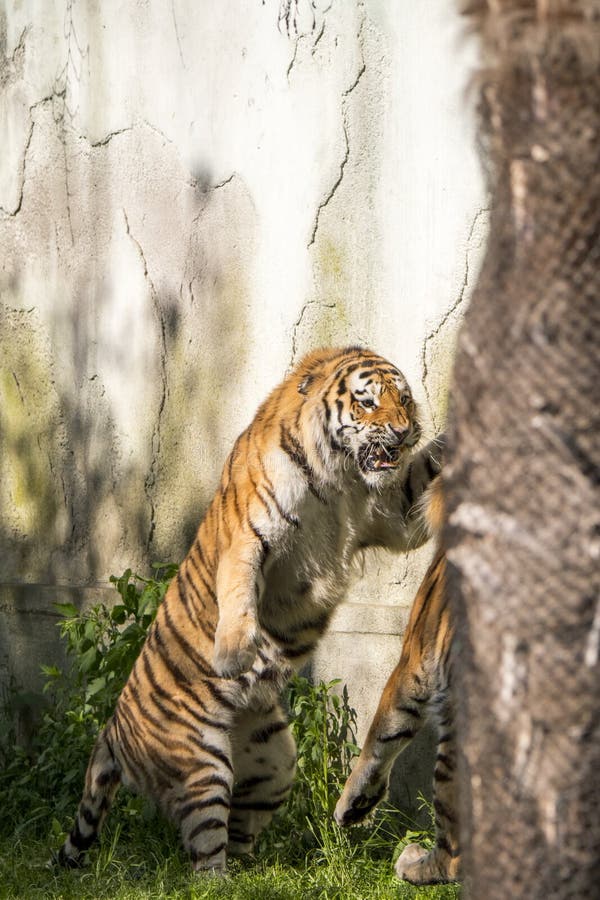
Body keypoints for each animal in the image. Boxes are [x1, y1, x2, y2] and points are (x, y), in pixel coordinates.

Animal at [57, 345, 443, 873]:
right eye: (367, 403)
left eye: (404, 400)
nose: (404, 432)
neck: (342, 476)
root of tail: (113, 731)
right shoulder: (249, 533)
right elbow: (238, 591)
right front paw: (235, 654)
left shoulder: (392, 512)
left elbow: (429, 470)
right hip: (200, 766)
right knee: (202, 861)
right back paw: (223, 879)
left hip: (273, 762)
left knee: (239, 835)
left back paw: (256, 873)